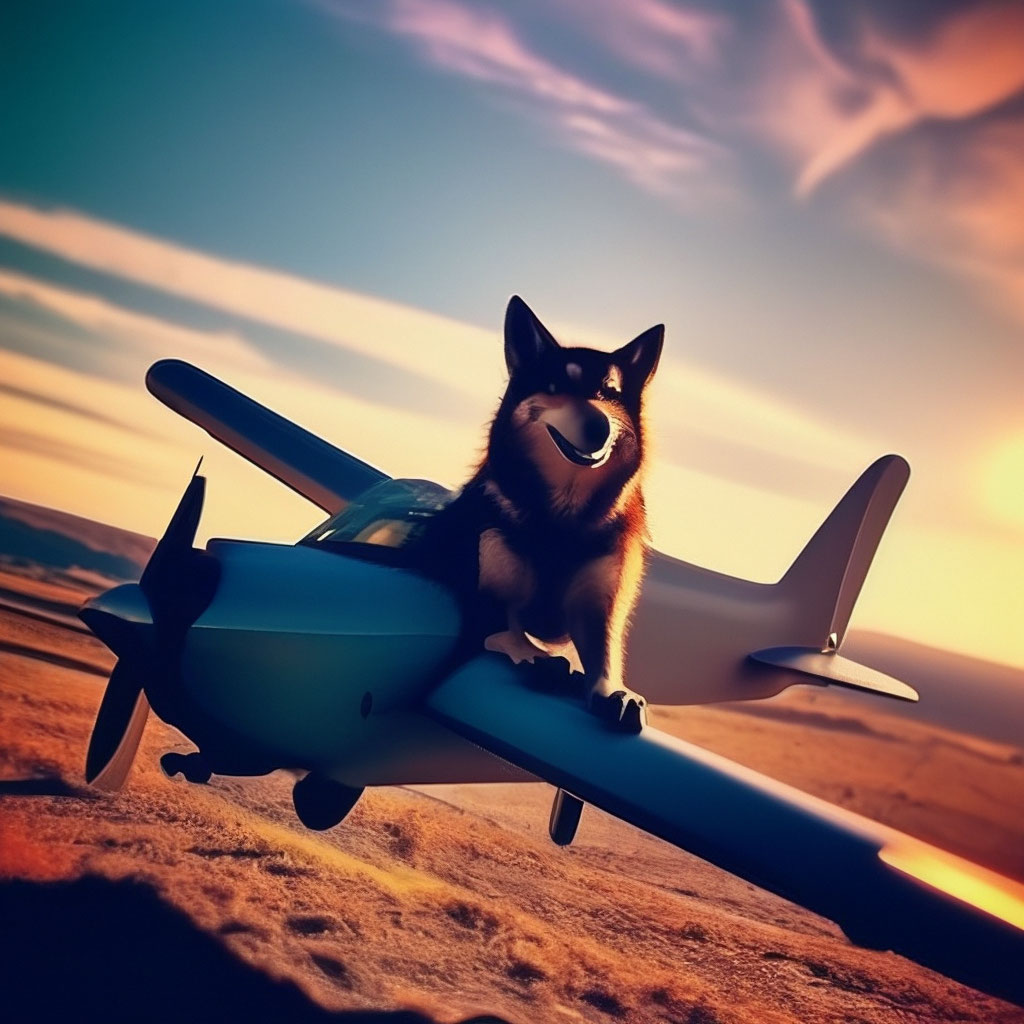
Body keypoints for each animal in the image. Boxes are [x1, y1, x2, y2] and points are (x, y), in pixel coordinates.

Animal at [417, 295, 663, 732]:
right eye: (554, 387)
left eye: (609, 393)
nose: (598, 426)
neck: (561, 524)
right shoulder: (487, 596)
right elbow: (506, 634)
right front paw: (537, 657)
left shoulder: (600, 604)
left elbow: (604, 657)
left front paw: (614, 692)